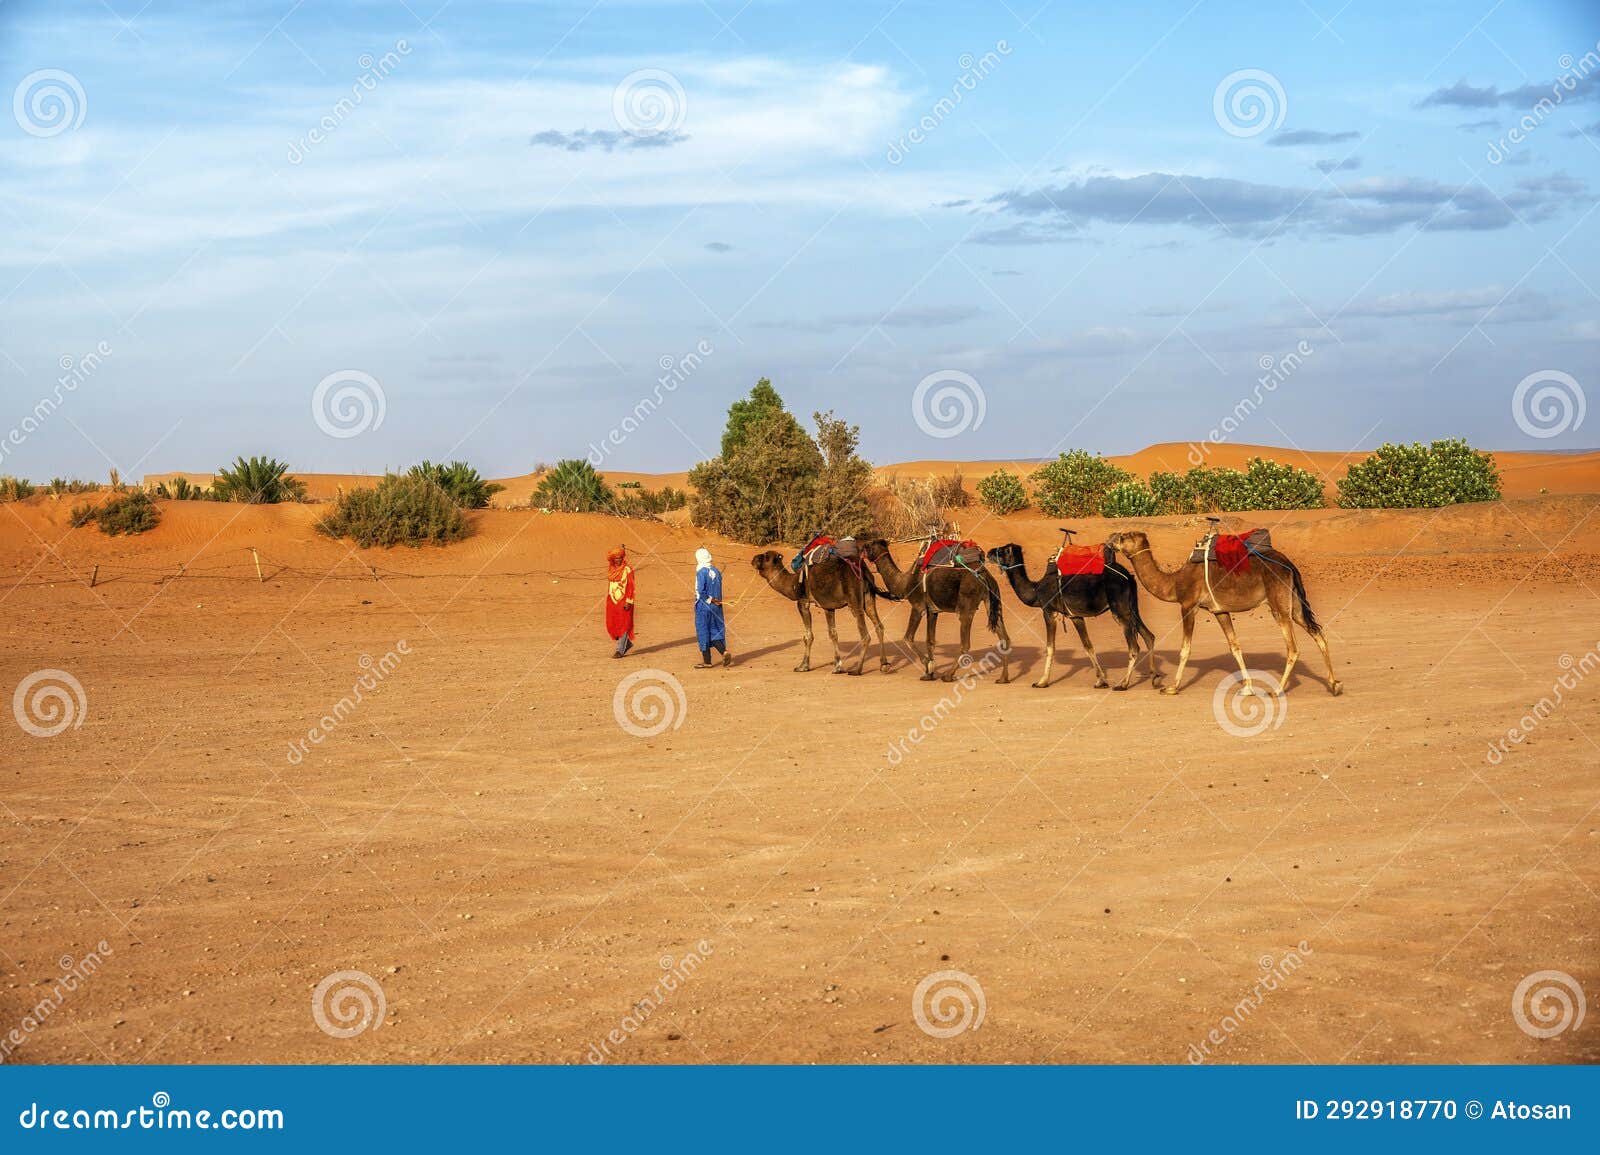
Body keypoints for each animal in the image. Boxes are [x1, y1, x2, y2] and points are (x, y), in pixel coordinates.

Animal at [751, 552, 892, 675]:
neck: (793, 584)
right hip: (869, 598)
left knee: (865, 635)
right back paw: (884, 665)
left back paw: (857, 670)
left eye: (766, 557)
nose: (753, 559)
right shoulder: (828, 607)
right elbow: (833, 634)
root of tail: (864, 571)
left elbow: (808, 636)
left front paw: (803, 666)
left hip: (854, 599)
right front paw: (837, 667)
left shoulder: (803, 602)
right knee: (879, 626)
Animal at [862, 539, 1011, 684]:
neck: (904, 582)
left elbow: (908, 637)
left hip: (967, 602)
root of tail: (985, 575)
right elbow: (930, 641)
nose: (860, 552)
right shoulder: (932, 611)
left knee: (965, 643)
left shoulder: (918, 606)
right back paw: (1003, 678)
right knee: (1004, 638)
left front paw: (928, 666)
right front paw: (929, 674)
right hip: (992, 600)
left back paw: (948, 676)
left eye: (867, 546)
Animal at [985, 543, 1162, 690]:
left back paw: (1123, 684)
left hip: (1120, 609)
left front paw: (1042, 682)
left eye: (1001, 551)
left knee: (1134, 647)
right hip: (1132, 606)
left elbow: (1050, 647)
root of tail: (1129, 577)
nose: (988, 552)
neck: (1035, 590)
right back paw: (1155, 678)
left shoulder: (1048, 610)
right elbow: (1088, 646)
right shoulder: (1075, 616)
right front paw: (1100, 681)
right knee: (1149, 636)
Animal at [1105, 529, 1341, 698]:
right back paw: (1335, 685)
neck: (1175, 582)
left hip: (1278, 603)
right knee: (1318, 633)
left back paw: (1277, 690)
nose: (1109, 540)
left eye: (1124, 536)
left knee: (1293, 647)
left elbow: (1185, 649)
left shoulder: (1188, 605)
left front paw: (1172, 687)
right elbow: (1235, 647)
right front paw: (1247, 687)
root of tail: (1289, 565)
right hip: (1294, 603)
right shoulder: (1220, 611)